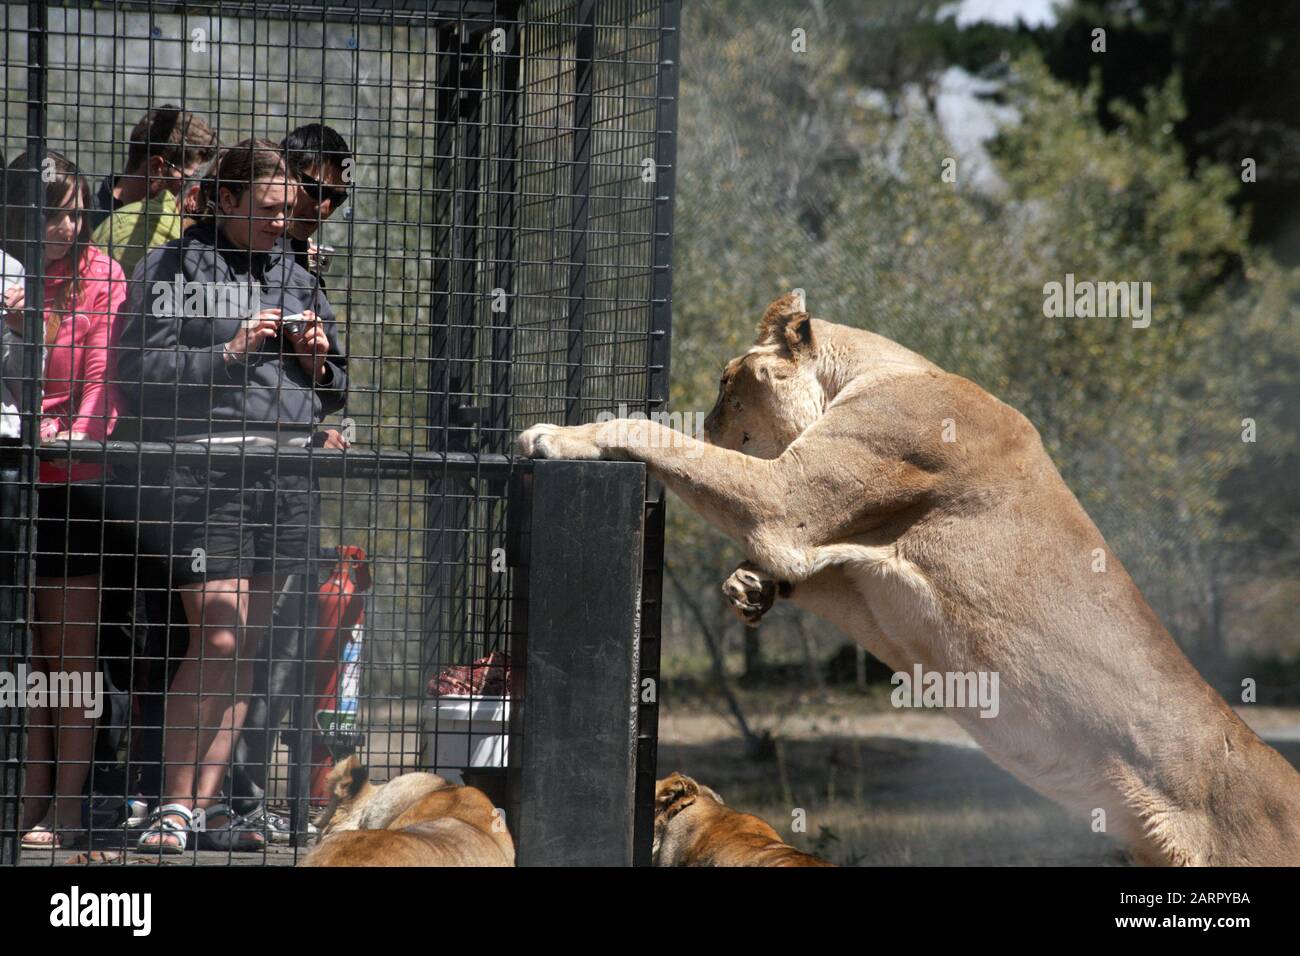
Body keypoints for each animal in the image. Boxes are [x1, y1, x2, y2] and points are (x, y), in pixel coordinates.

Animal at [518, 291, 1300, 866]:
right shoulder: (847, 563)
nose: (707, 421)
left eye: (723, 383)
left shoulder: (786, 506)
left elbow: (656, 439)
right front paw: (750, 588)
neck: (870, 375)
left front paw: (557, 434)